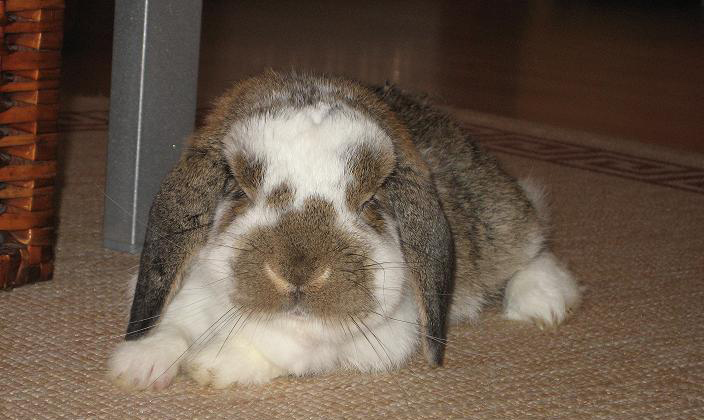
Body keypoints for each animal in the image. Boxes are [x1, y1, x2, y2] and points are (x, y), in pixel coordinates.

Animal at [108, 71, 581, 391]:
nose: (297, 273)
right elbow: (173, 321)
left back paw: (544, 302)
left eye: (371, 200)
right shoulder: (187, 290)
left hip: (500, 223)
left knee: (531, 249)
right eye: (238, 188)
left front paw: (213, 366)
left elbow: (285, 347)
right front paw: (138, 364)